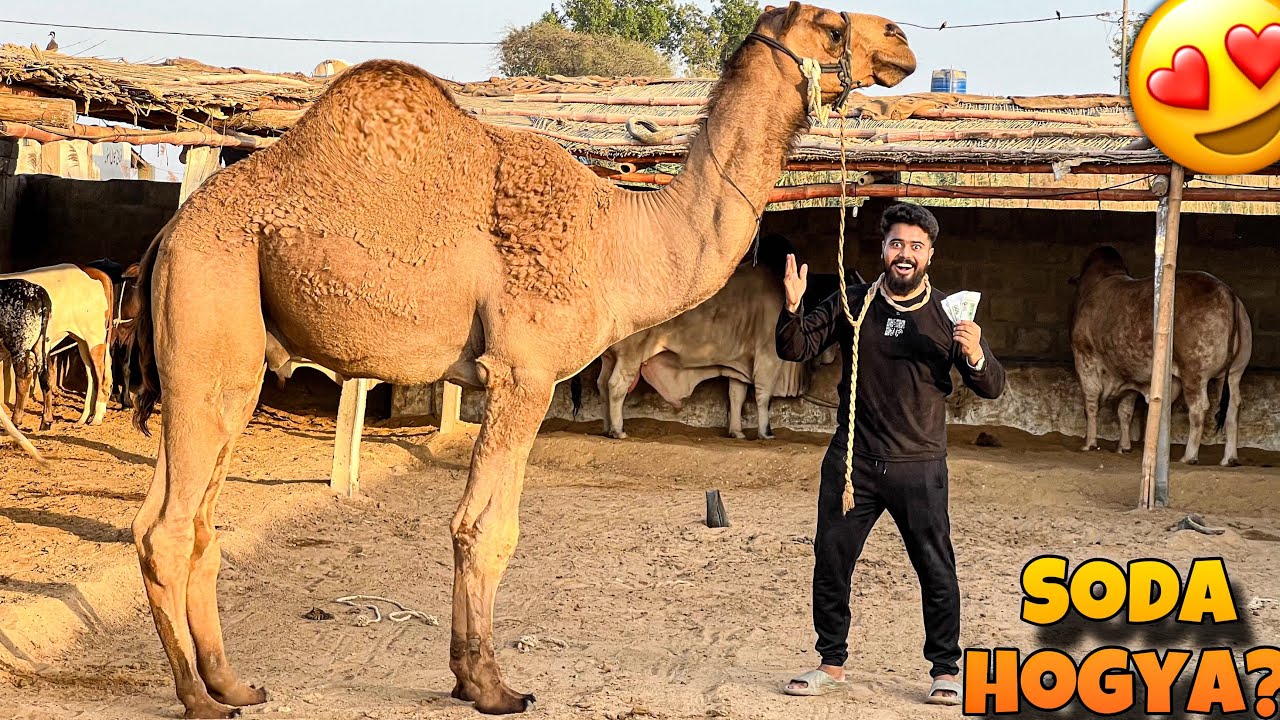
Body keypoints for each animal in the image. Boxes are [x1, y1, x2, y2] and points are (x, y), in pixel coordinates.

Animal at [127, 4, 915, 717]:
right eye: (833, 26)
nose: (900, 41)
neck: (615, 237)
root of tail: (167, 234)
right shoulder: (523, 372)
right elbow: (488, 529)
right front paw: (491, 687)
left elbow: (485, 524)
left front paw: (467, 677)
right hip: (212, 303)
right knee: (171, 525)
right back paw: (197, 697)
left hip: (223, 356)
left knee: (185, 519)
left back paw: (234, 685)